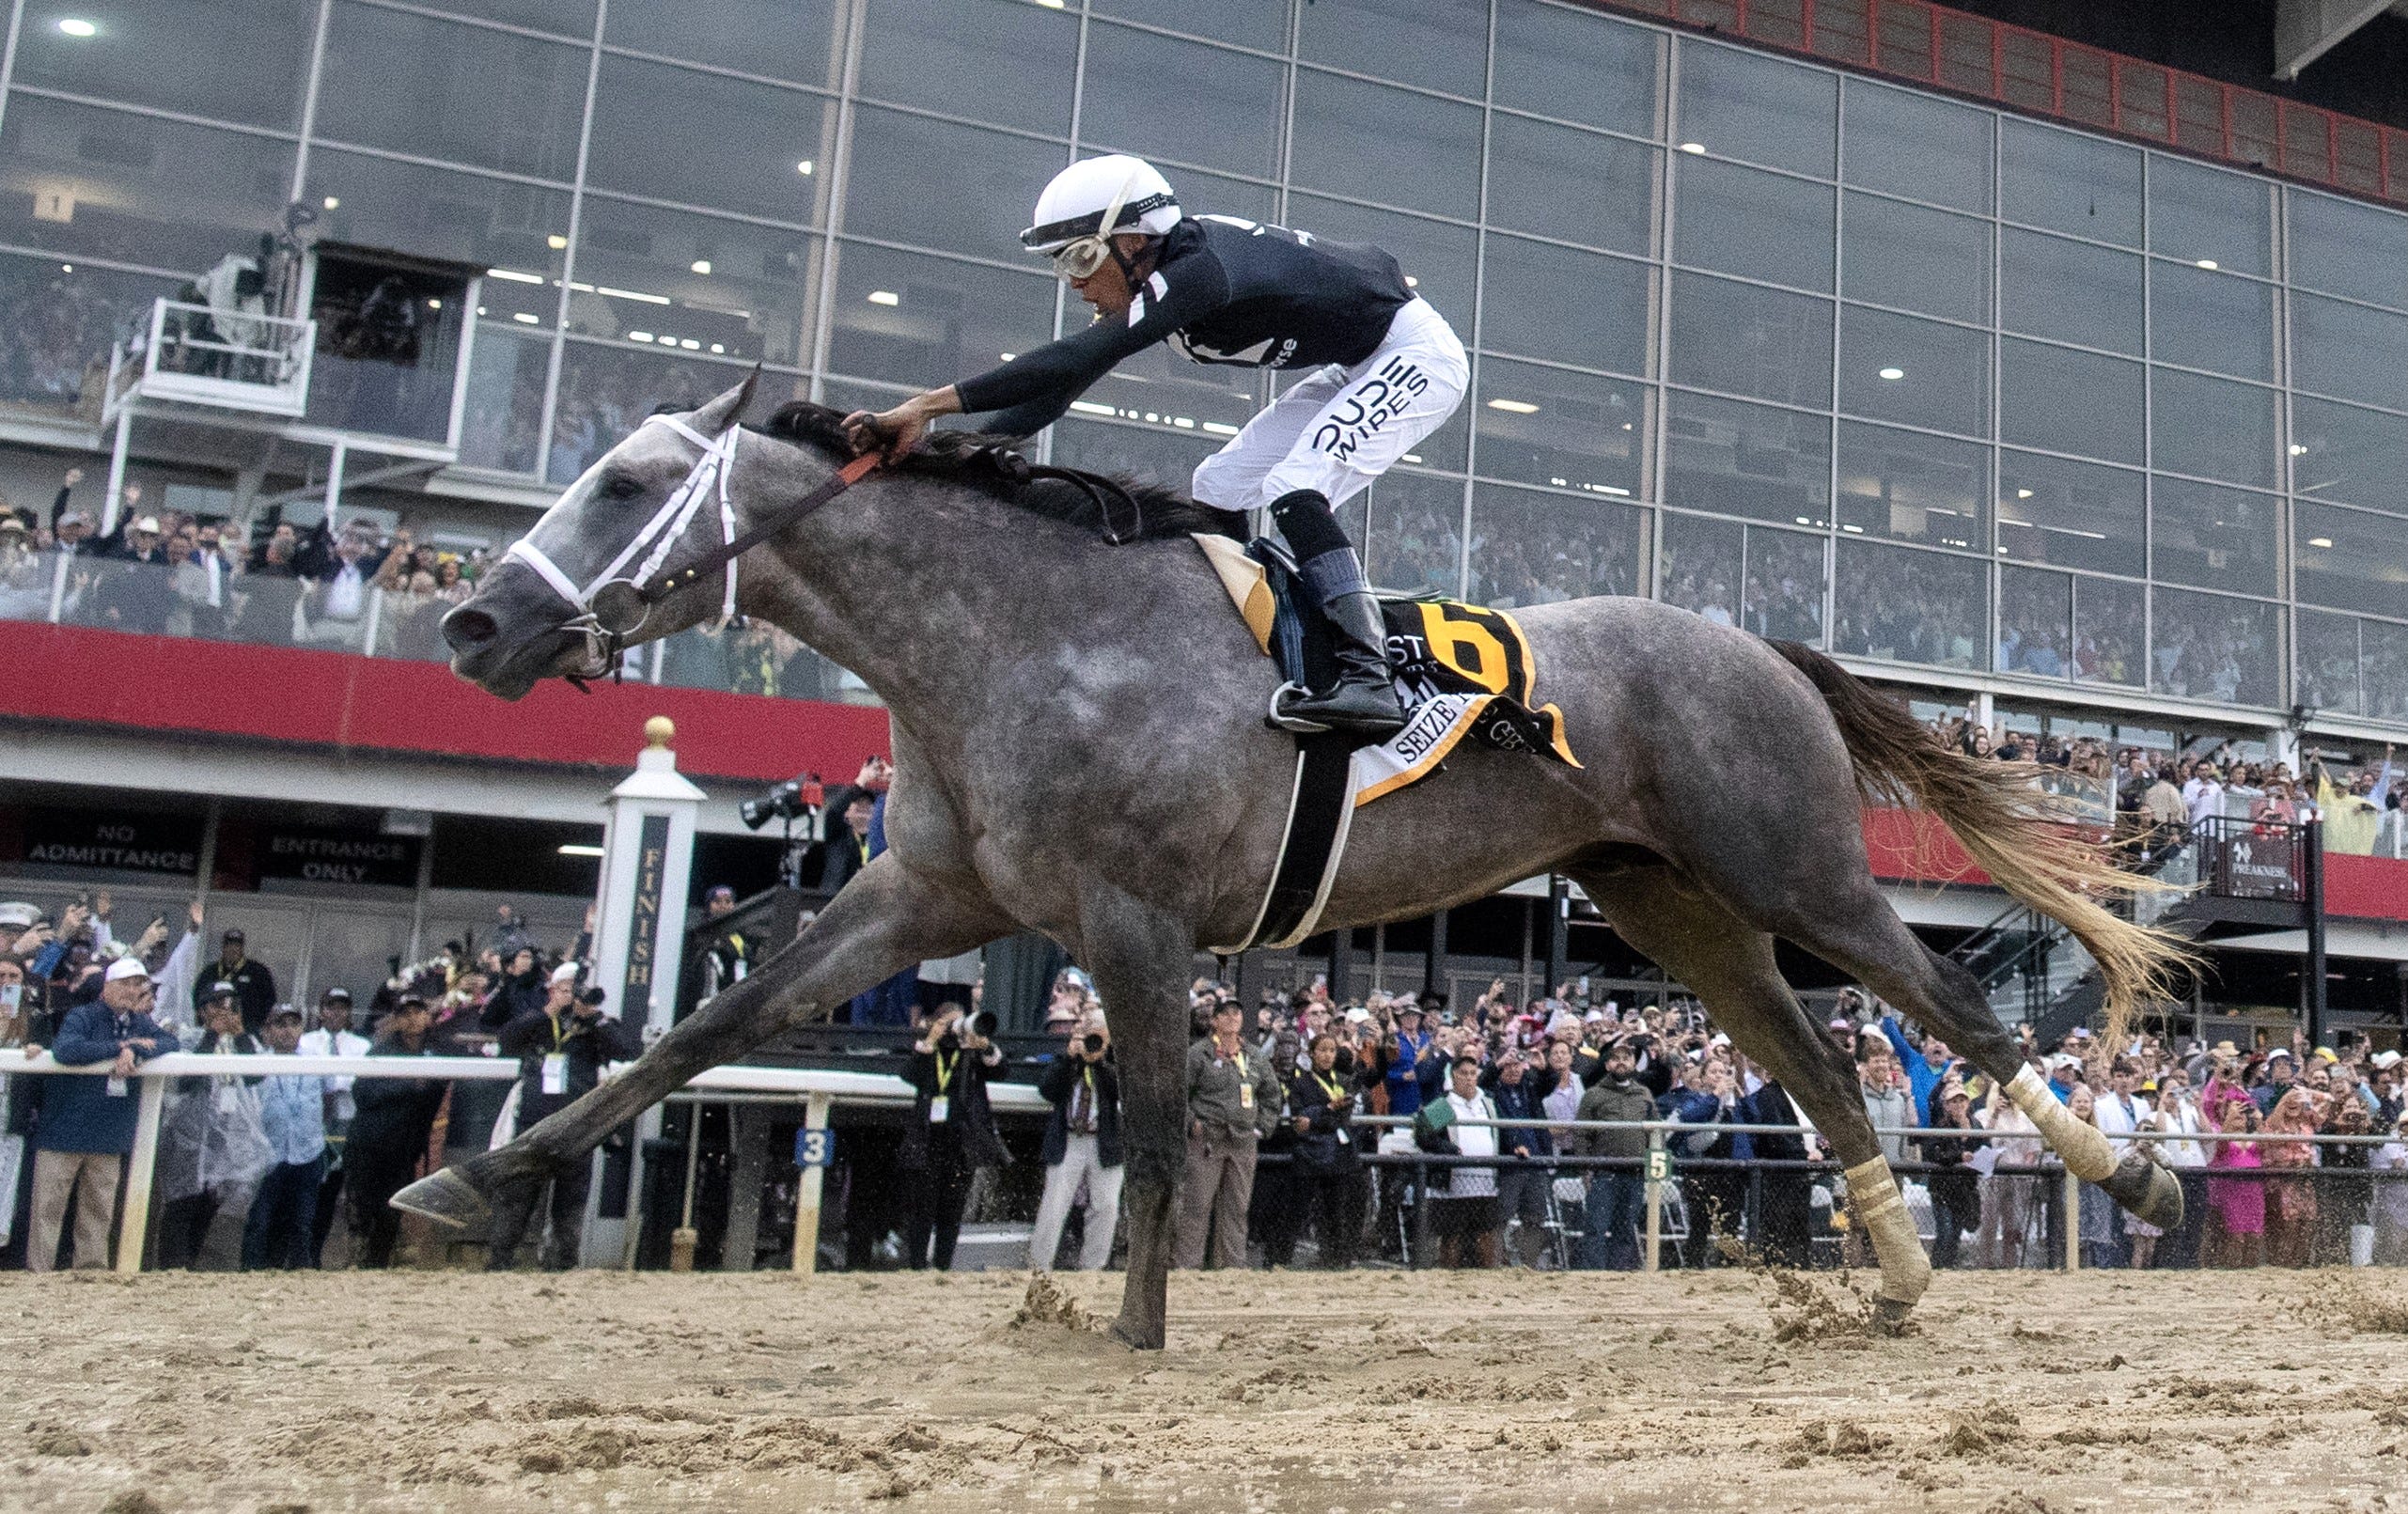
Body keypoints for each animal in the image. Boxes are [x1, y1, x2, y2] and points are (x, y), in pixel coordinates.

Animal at [403, 373, 2187, 1346]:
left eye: (629, 481)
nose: (472, 622)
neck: (1023, 636)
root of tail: (1760, 647)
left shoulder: (1131, 912)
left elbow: (1146, 1117)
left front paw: (1128, 1327)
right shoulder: (931, 892)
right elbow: (707, 1025)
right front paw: (469, 1182)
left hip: (1792, 867)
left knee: (1954, 1003)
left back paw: (2131, 1178)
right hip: (1672, 901)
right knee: (1817, 1056)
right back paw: (1895, 1269)